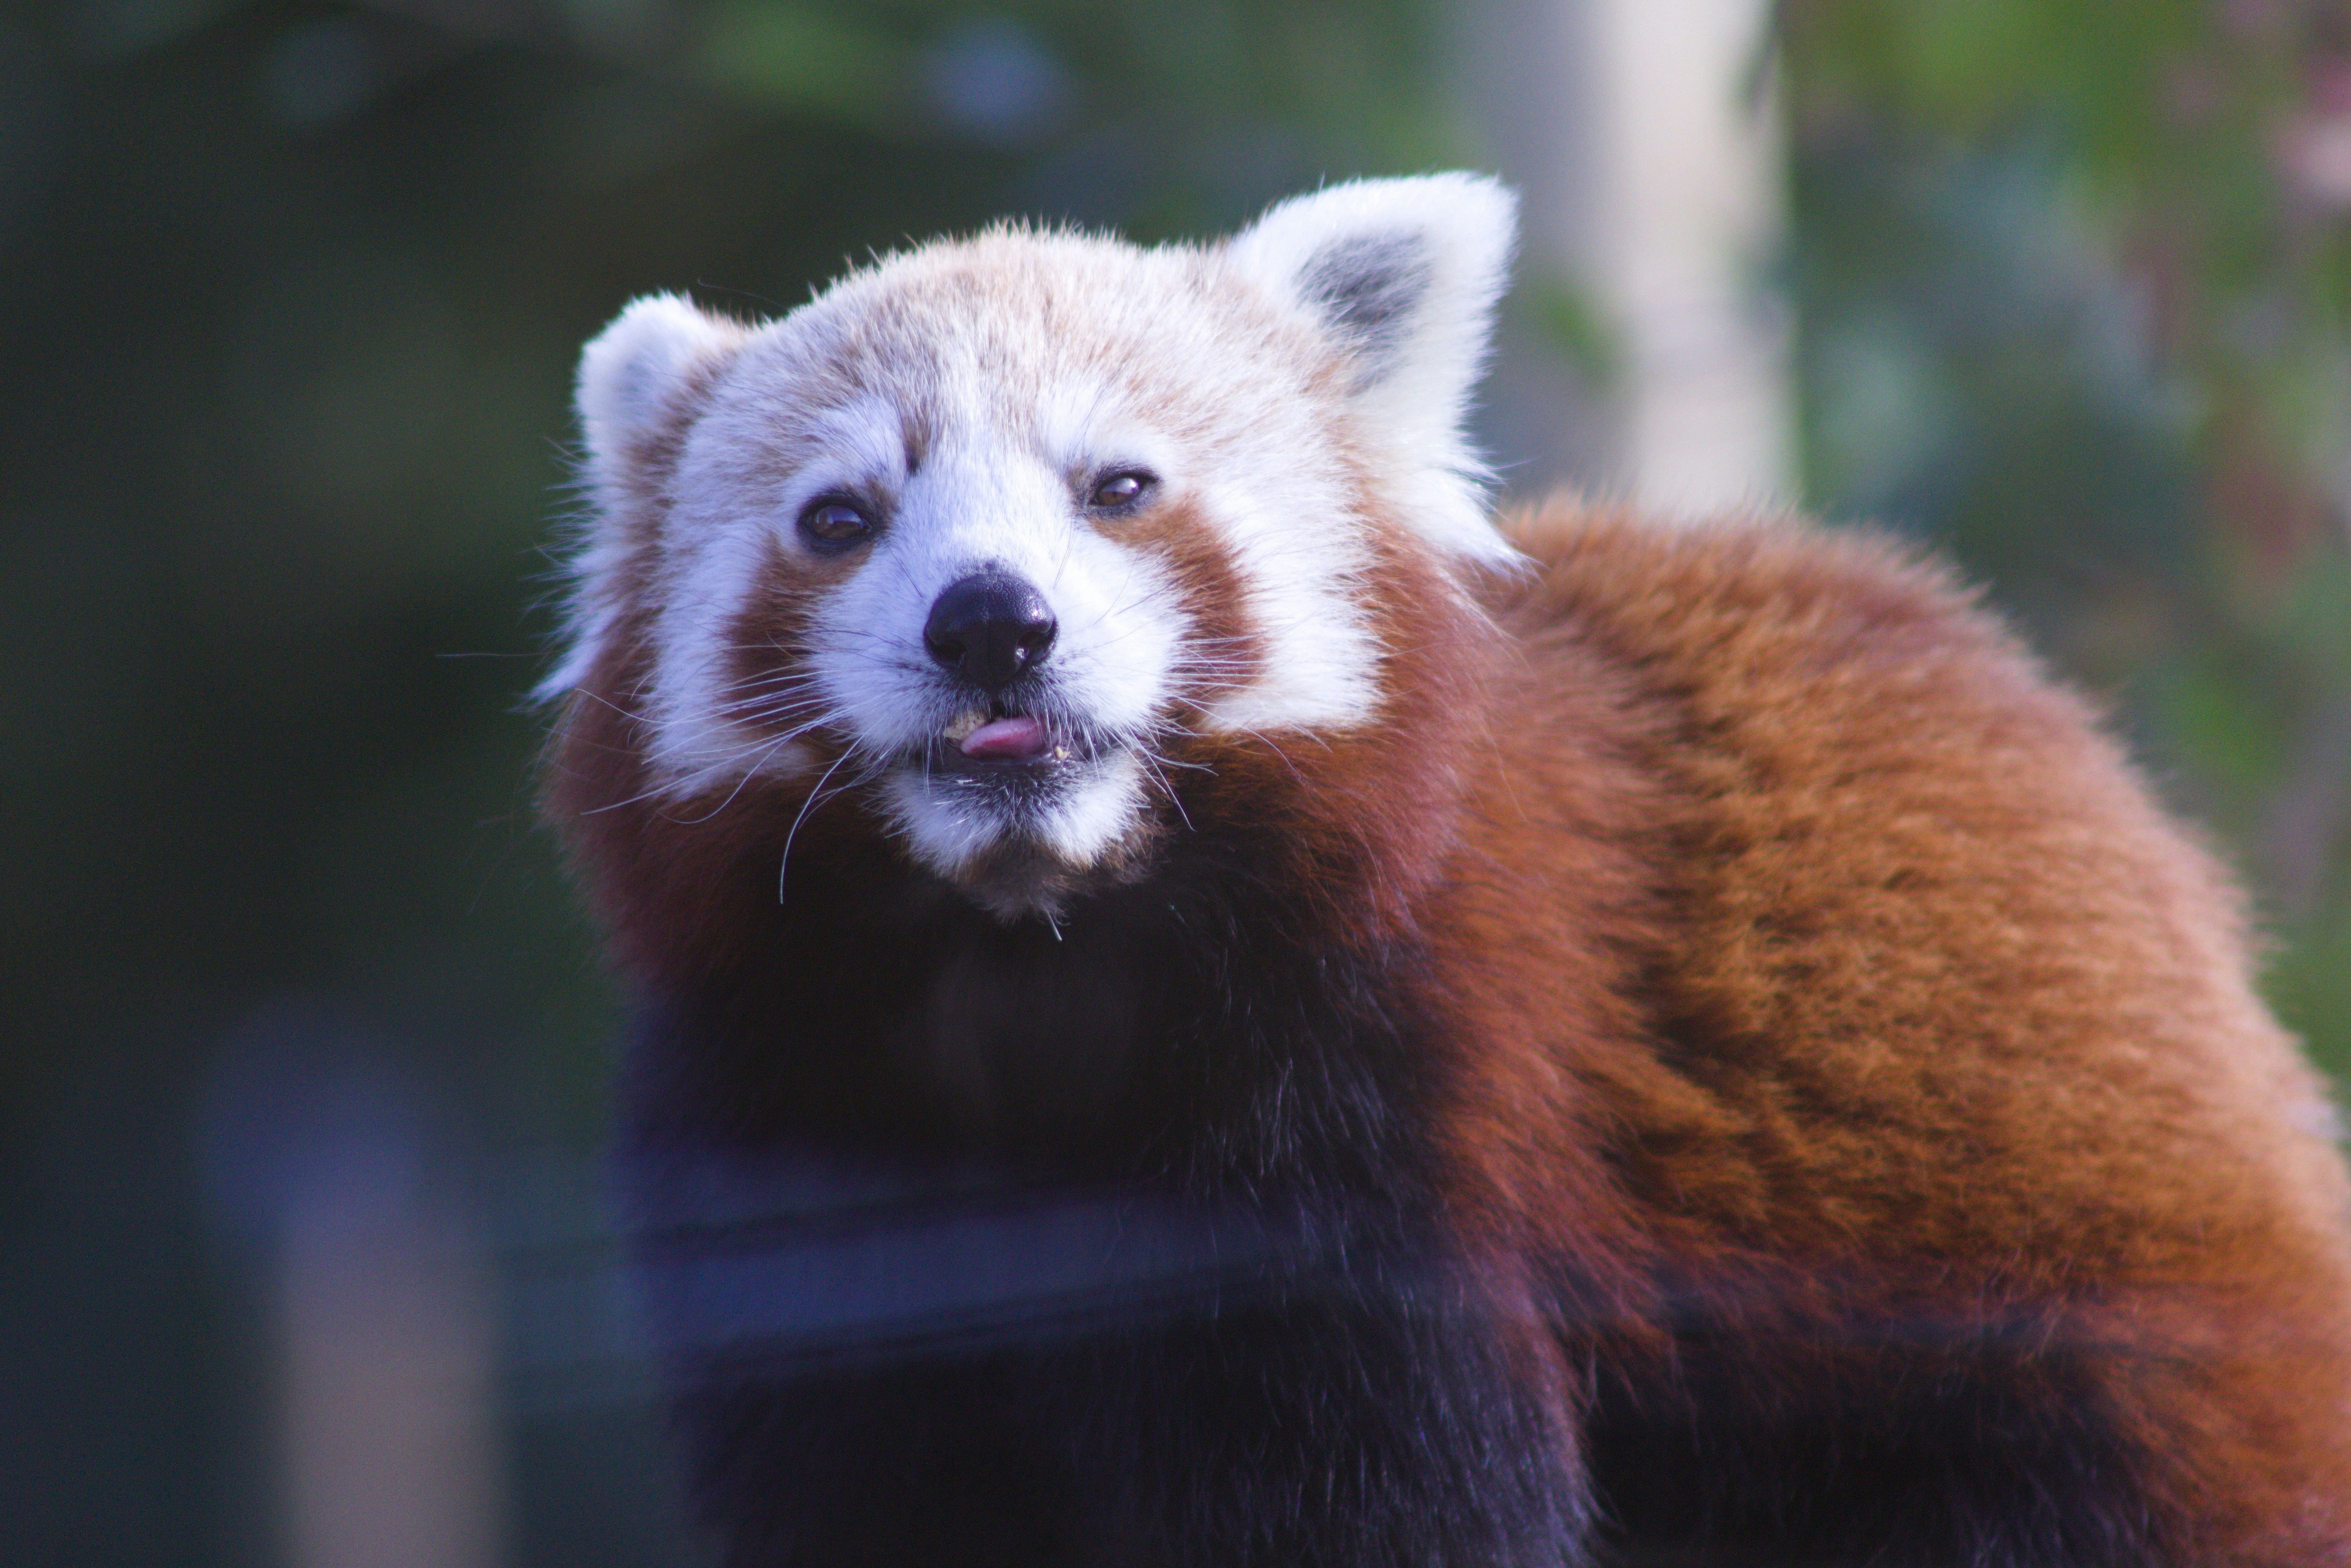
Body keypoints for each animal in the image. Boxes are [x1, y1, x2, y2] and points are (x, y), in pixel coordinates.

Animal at [537, 173, 2351, 1565]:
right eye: (839, 517)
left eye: (1116, 487)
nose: (992, 622)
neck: (1037, 943)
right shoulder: (792, 1137)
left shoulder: (1390, 1085)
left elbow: (1363, 1494)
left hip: (2060, 1309)